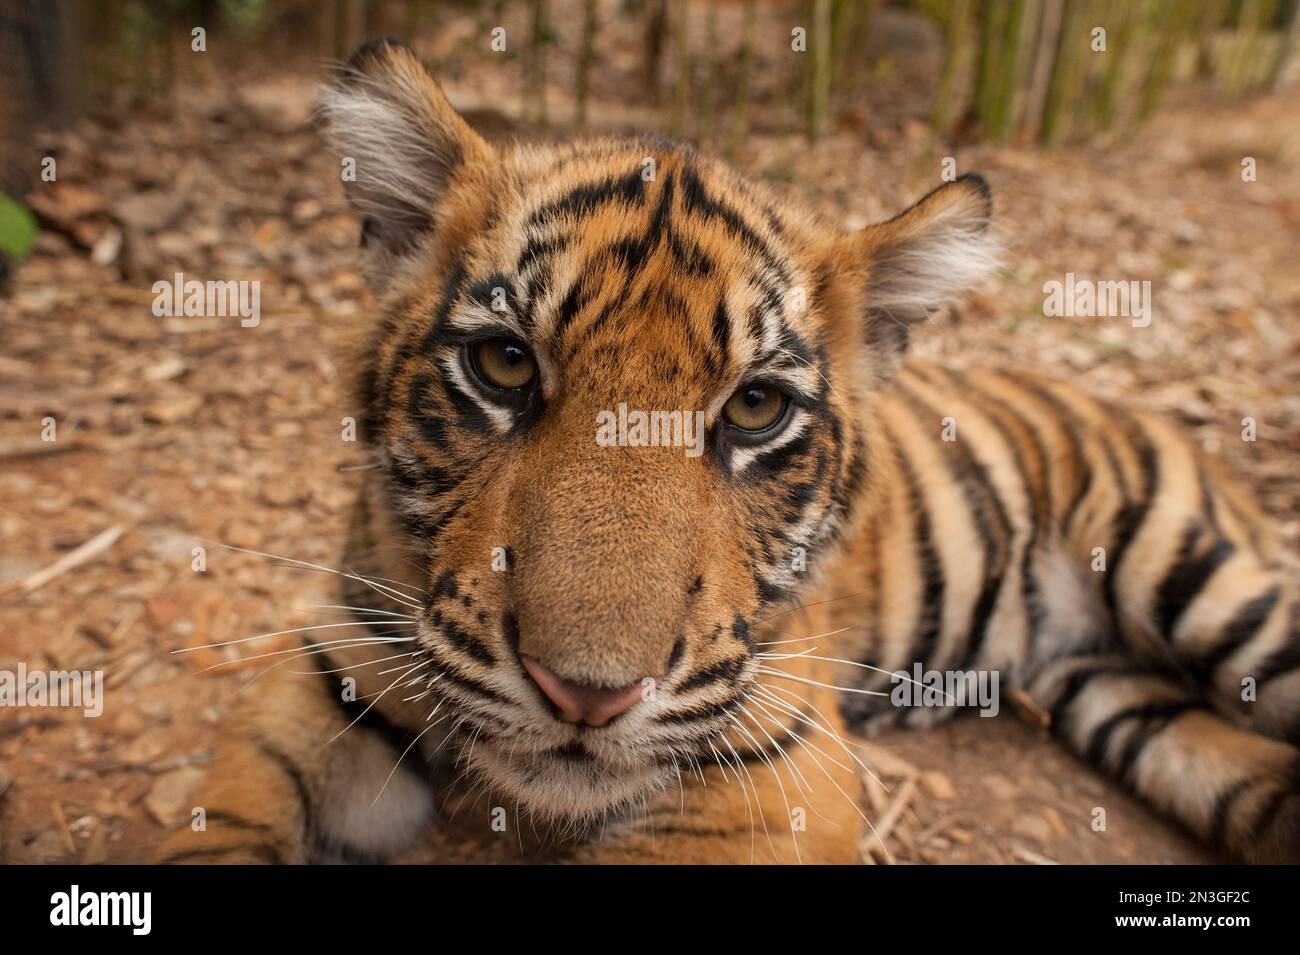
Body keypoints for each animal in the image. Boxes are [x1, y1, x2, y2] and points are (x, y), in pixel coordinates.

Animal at [158, 39, 1300, 865]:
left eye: (754, 408)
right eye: (503, 364)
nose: (586, 695)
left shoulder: (776, 779)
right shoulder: (330, 678)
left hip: (1207, 580)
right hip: (1117, 691)